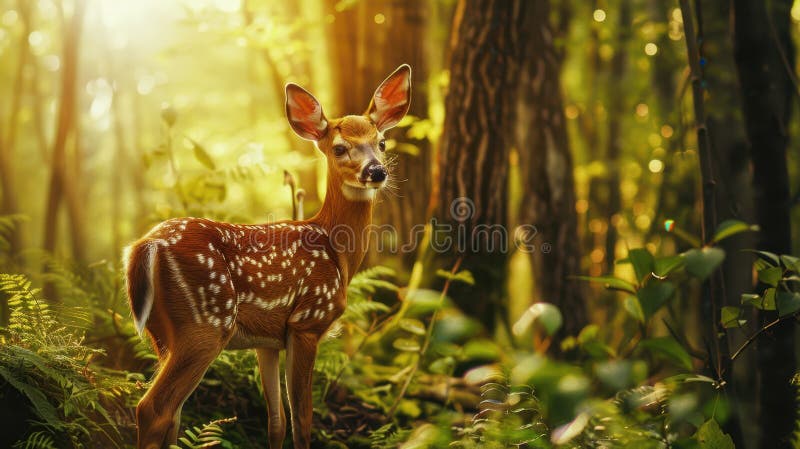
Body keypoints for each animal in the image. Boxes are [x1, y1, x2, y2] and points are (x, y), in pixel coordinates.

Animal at [124, 64, 411, 449]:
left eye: (381, 142)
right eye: (339, 148)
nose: (377, 171)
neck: (337, 252)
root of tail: (144, 246)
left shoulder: (267, 341)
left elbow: (276, 421)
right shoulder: (307, 321)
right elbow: (303, 419)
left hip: (162, 334)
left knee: (172, 416)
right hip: (203, 323)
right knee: (153, 409)